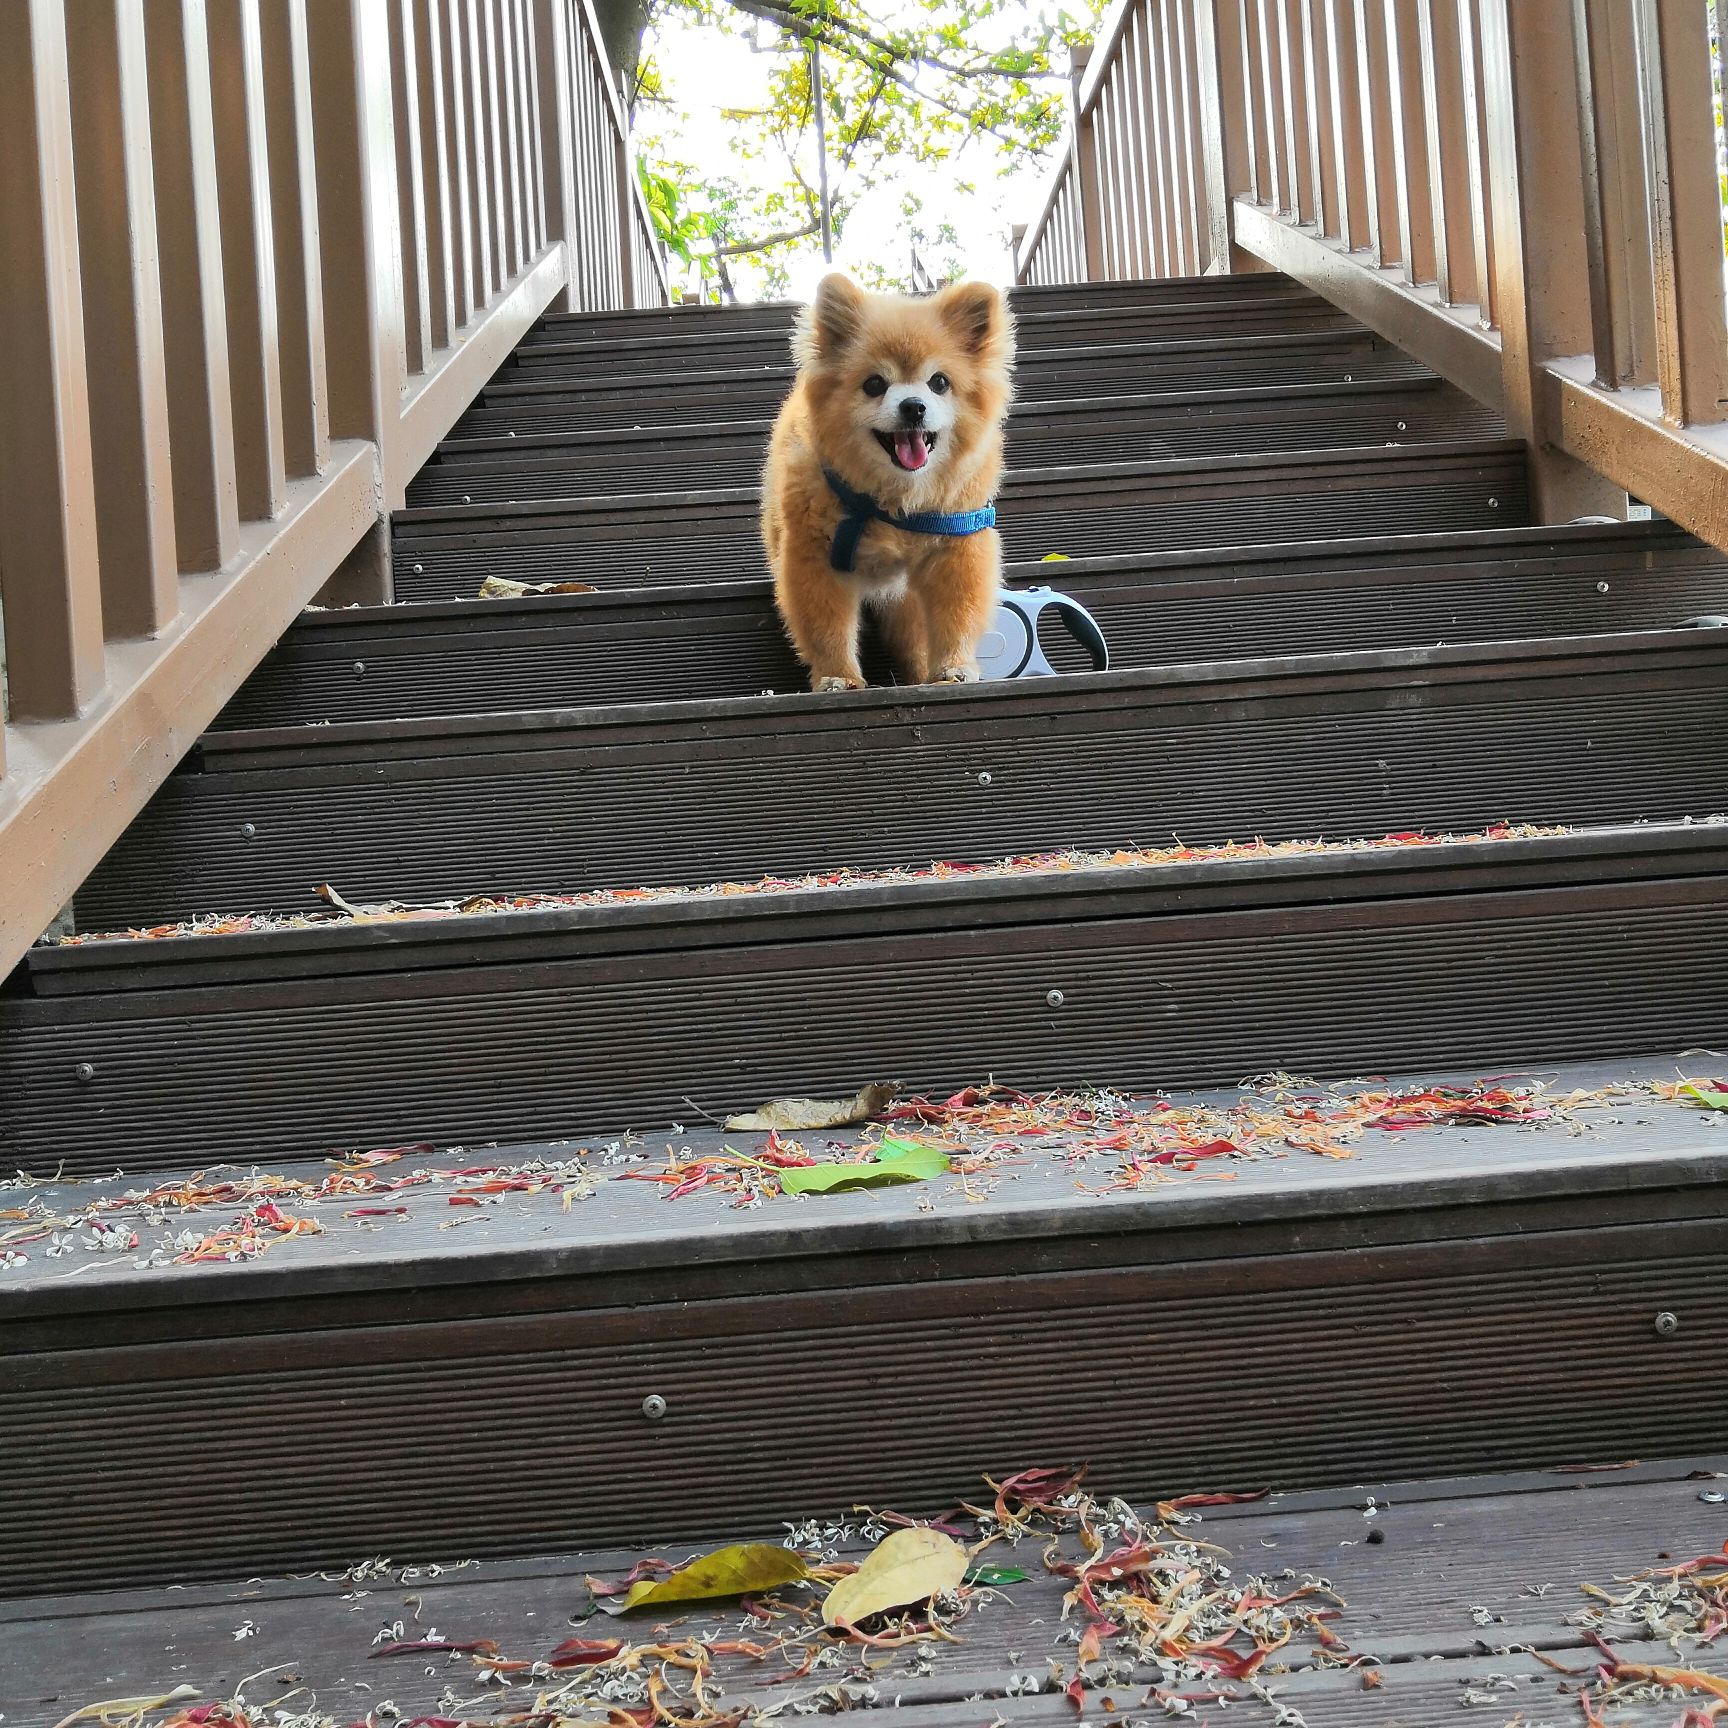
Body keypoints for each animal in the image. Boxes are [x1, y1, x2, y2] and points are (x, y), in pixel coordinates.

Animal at [767, 269, 1016, 687]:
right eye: (874, 384)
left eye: (939, 382)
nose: (913, 407)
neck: (893, 503)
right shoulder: (816, 557)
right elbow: (827, 627)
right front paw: (838, 676)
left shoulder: (957, 546)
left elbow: (957, 616)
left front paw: (953, 667)